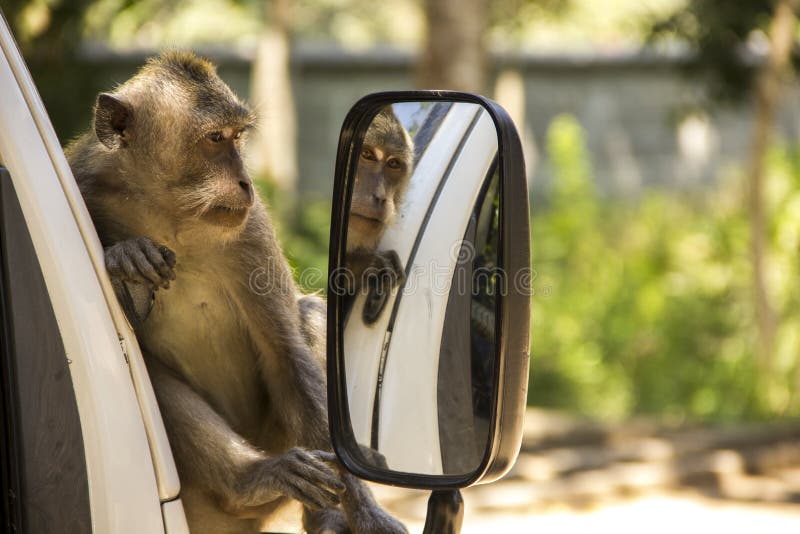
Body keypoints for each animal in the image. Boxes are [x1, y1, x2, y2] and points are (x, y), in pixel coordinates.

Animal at [66, 51, 407, 534]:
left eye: (237, 136)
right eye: (214, 138)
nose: (245, 180)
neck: (171, 216)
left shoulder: (252, 230)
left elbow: (285, 351)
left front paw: (367, 511)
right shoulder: (85, 187)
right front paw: (126, 260)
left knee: (309, 318)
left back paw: (323, 513)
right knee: (149, 371)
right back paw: (253, 480)